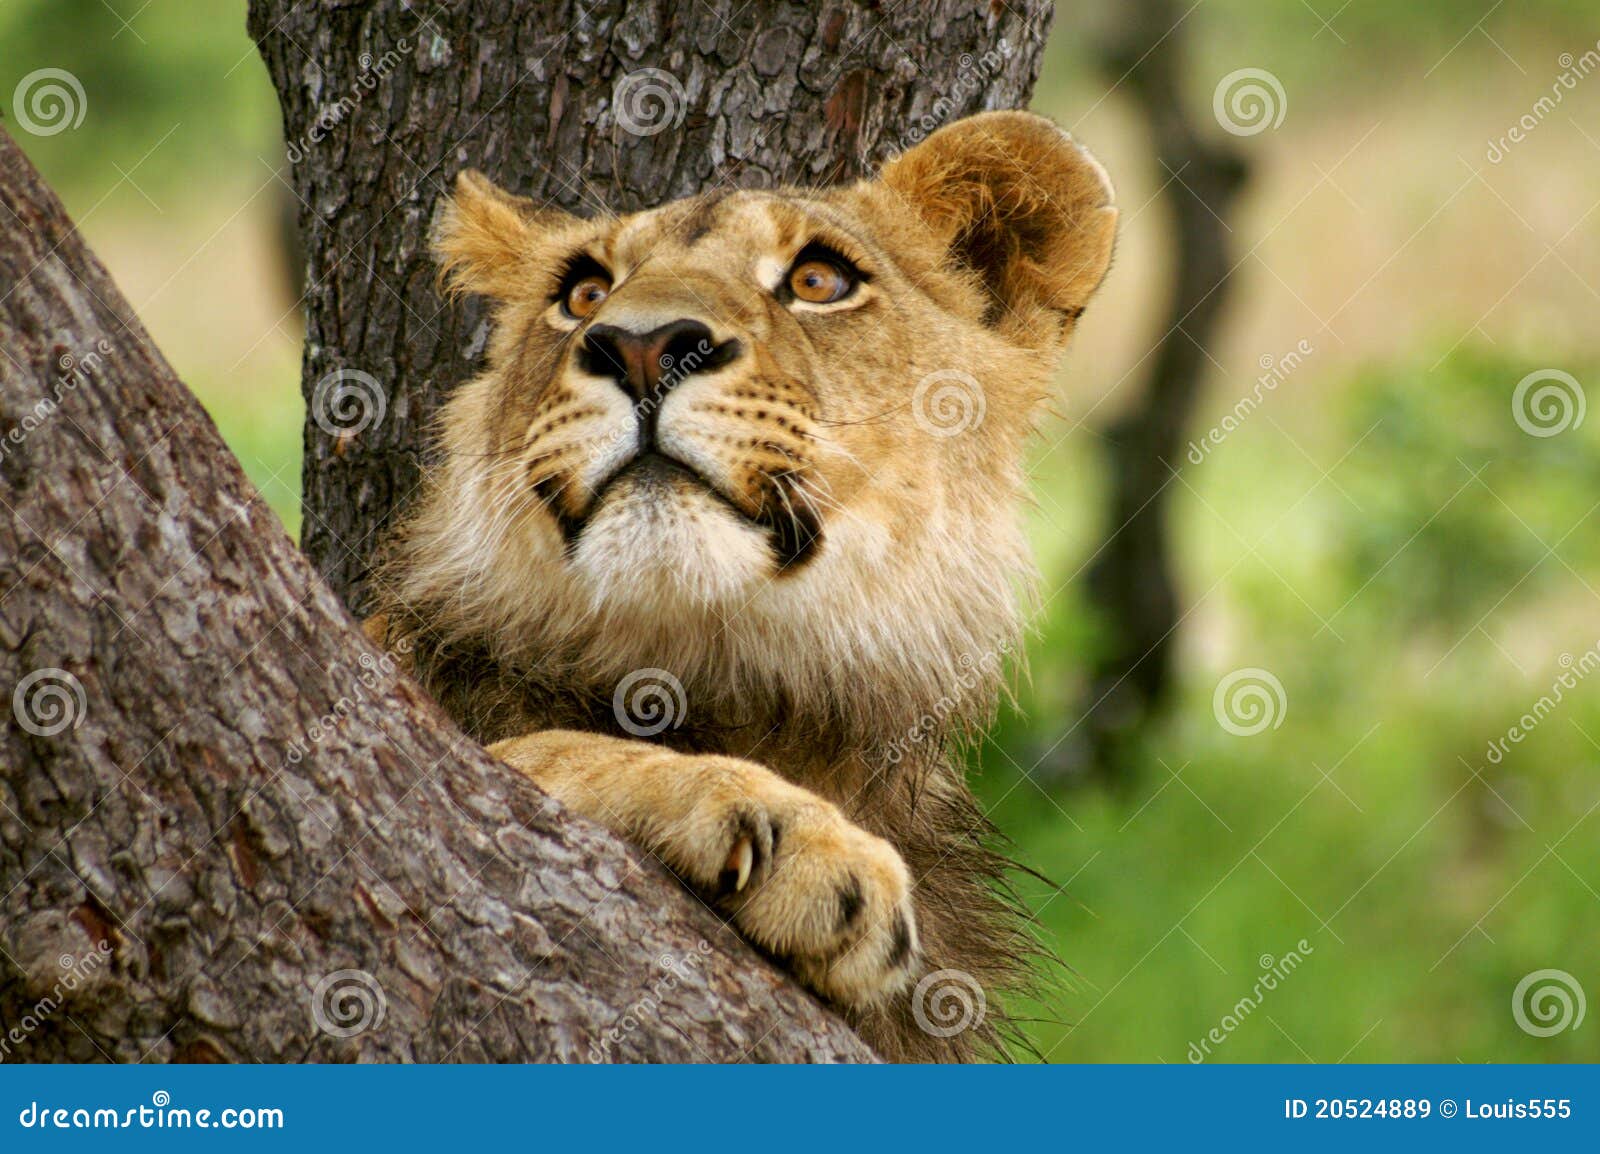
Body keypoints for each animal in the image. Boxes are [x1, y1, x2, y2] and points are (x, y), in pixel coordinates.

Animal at [366, 111, 1116, 1061]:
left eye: (819, 280)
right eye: (584, 293)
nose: (641, 346)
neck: (743, 677)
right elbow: (533, 752)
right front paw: (792, 839)